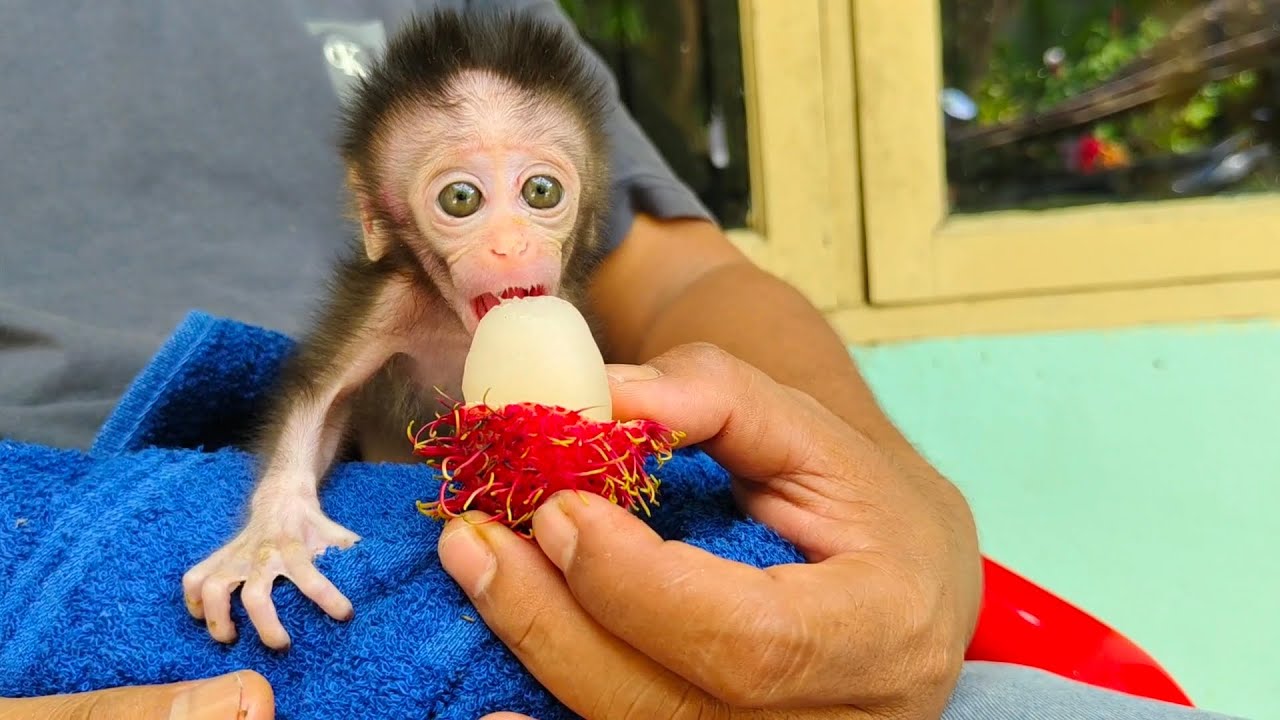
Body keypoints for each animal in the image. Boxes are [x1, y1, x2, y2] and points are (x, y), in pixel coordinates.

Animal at [181, 8, 613, 650]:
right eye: (461, 199)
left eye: (541, 191)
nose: (509, 246)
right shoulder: (389, 300)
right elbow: (323, 395)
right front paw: (273, 534)